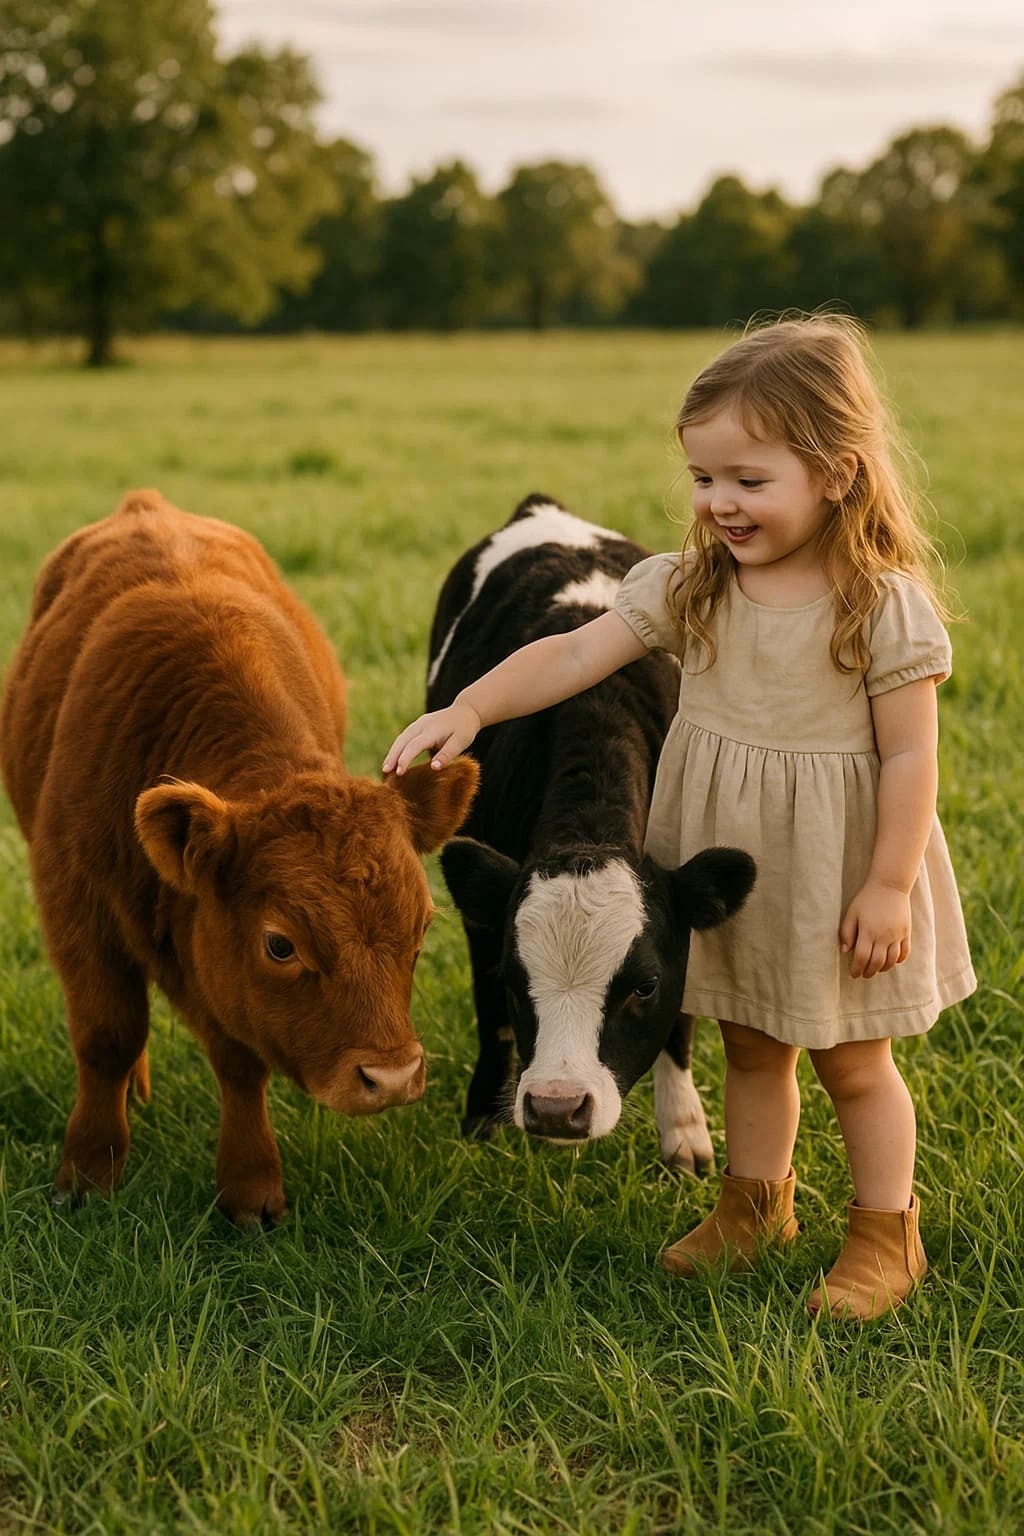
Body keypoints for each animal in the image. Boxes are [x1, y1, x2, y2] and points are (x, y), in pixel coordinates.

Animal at [0, 491, 477, 1226]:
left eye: (423, 927)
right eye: (281, 945)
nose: (392, 1077)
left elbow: (239, 1062)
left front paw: (250, 1189)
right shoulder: (74, 904)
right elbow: (107, 1037)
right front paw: (86, 1173)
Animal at [425, 494, 755, 1168]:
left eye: (645, 985)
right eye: (515, 977)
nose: (557, 1106)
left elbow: (680, 1024)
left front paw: (684, 1131)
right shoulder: (485, 915)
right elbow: (491, 1015)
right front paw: (483, 1115)